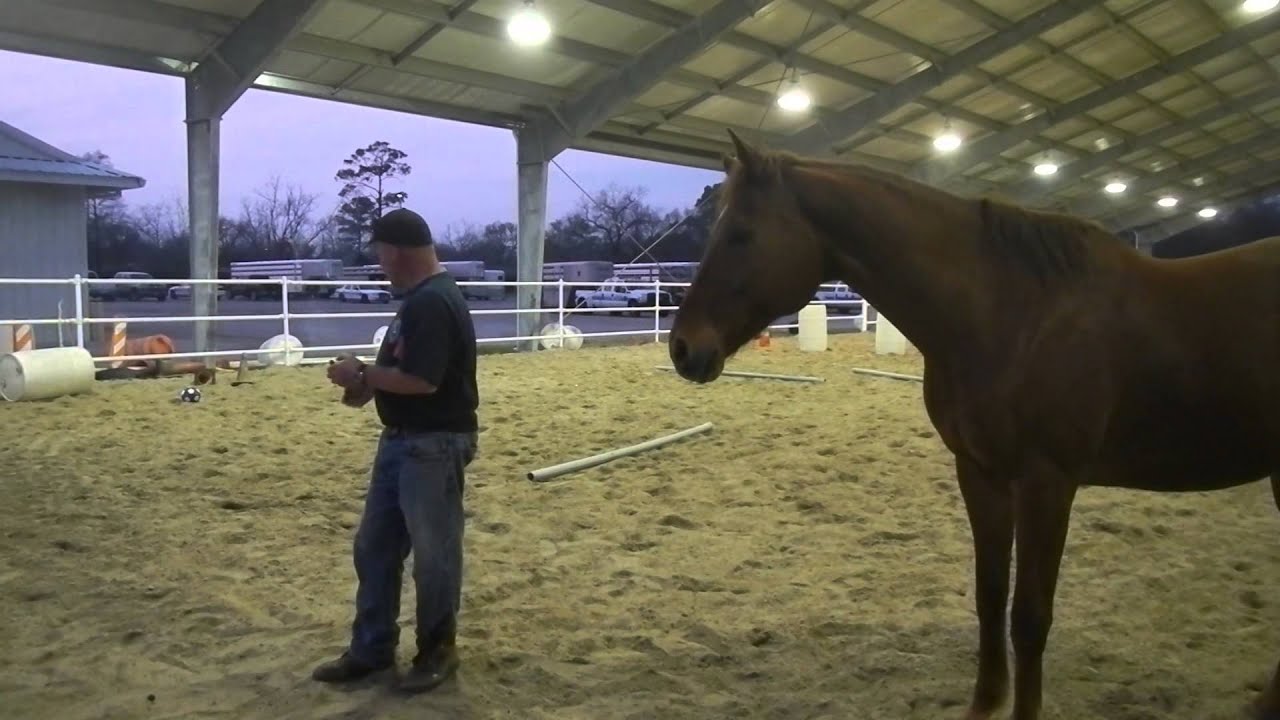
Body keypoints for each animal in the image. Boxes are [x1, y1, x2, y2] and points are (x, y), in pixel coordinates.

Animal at [667, 129, 1280, 720]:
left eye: (741, 234)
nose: (682, 348)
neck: (1010, 313)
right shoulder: (980, 473)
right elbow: (989, 596)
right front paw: (984, 702)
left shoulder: (1047, 483)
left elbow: (1030, 615)